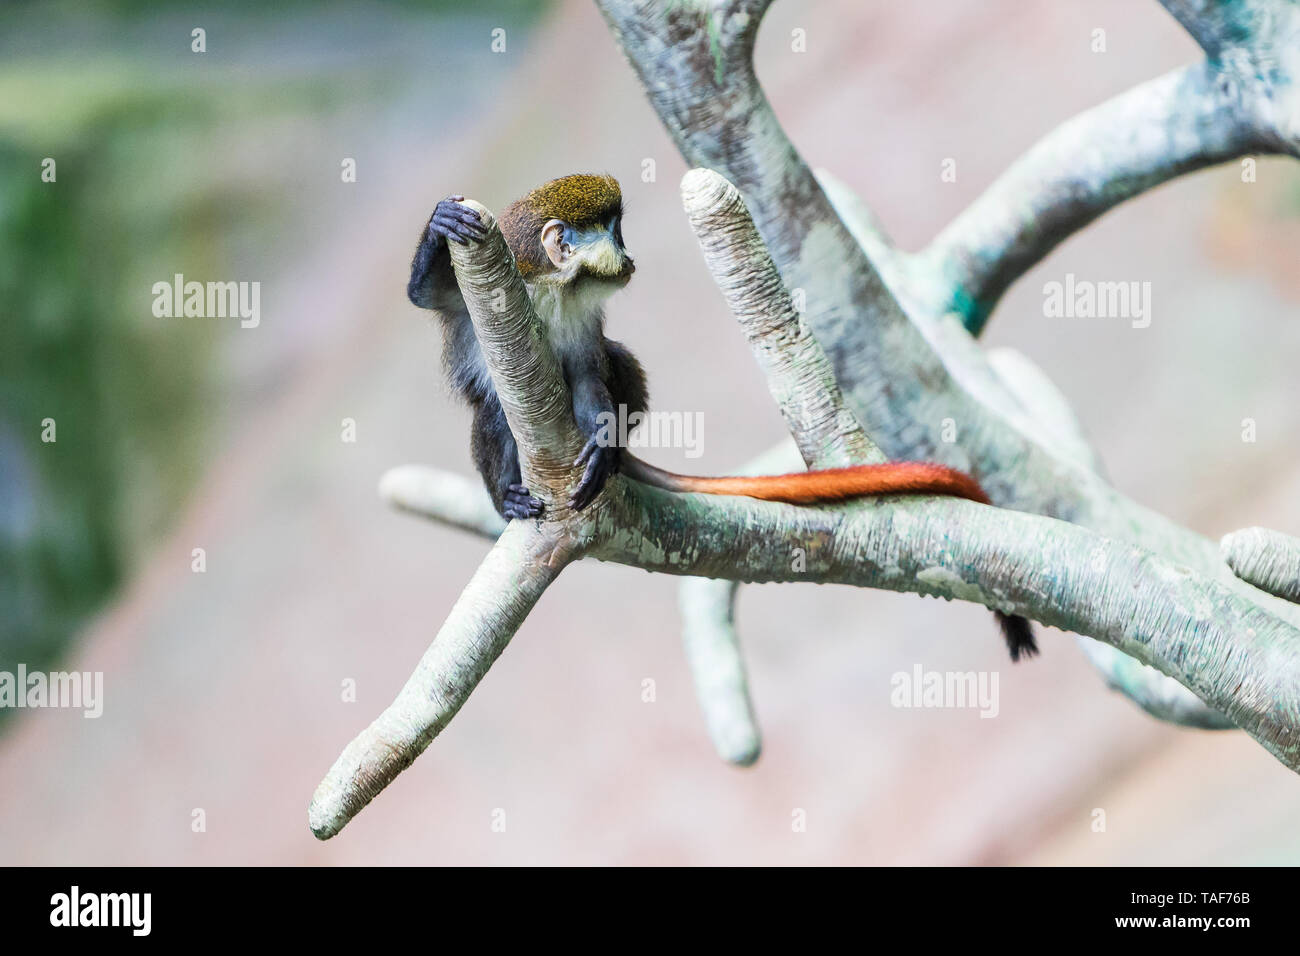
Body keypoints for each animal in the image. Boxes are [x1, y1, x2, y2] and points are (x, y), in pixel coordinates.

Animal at [407, 174, 1036, 662]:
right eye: (612, 230)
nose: (629, 256)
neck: (555, 287)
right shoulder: (481, 291)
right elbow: (428, 298)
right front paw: (440, 223)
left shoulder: (582, 316)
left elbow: (589, 372)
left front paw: (601, 449)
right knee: (491, 413)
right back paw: (509, 497)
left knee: (616, 361)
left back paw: (612, 454)